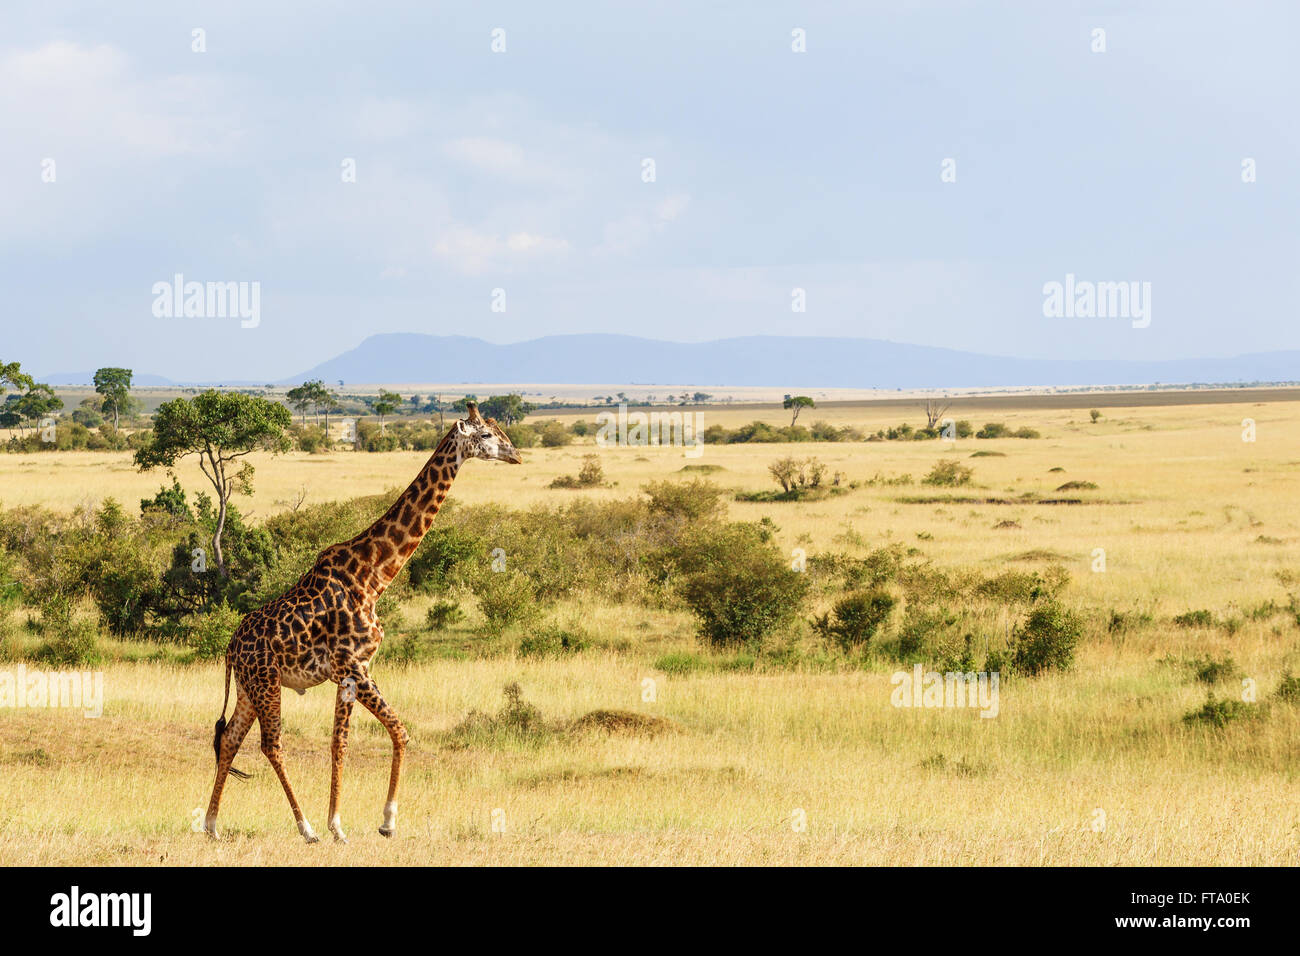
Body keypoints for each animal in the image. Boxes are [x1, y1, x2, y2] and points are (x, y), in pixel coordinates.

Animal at [202, 402, 521, 843]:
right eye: (487, 435)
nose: (516, 454)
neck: (374, 576)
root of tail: (231, 647)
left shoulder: (349, 673)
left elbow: (341, 743)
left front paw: (343, 824)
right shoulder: (354, 666)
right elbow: (398, 731)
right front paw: (381, 822)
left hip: (250, 688)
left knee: (230, 738)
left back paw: (212, 825)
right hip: (267, 683)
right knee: (271, 744)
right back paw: (305, 828)